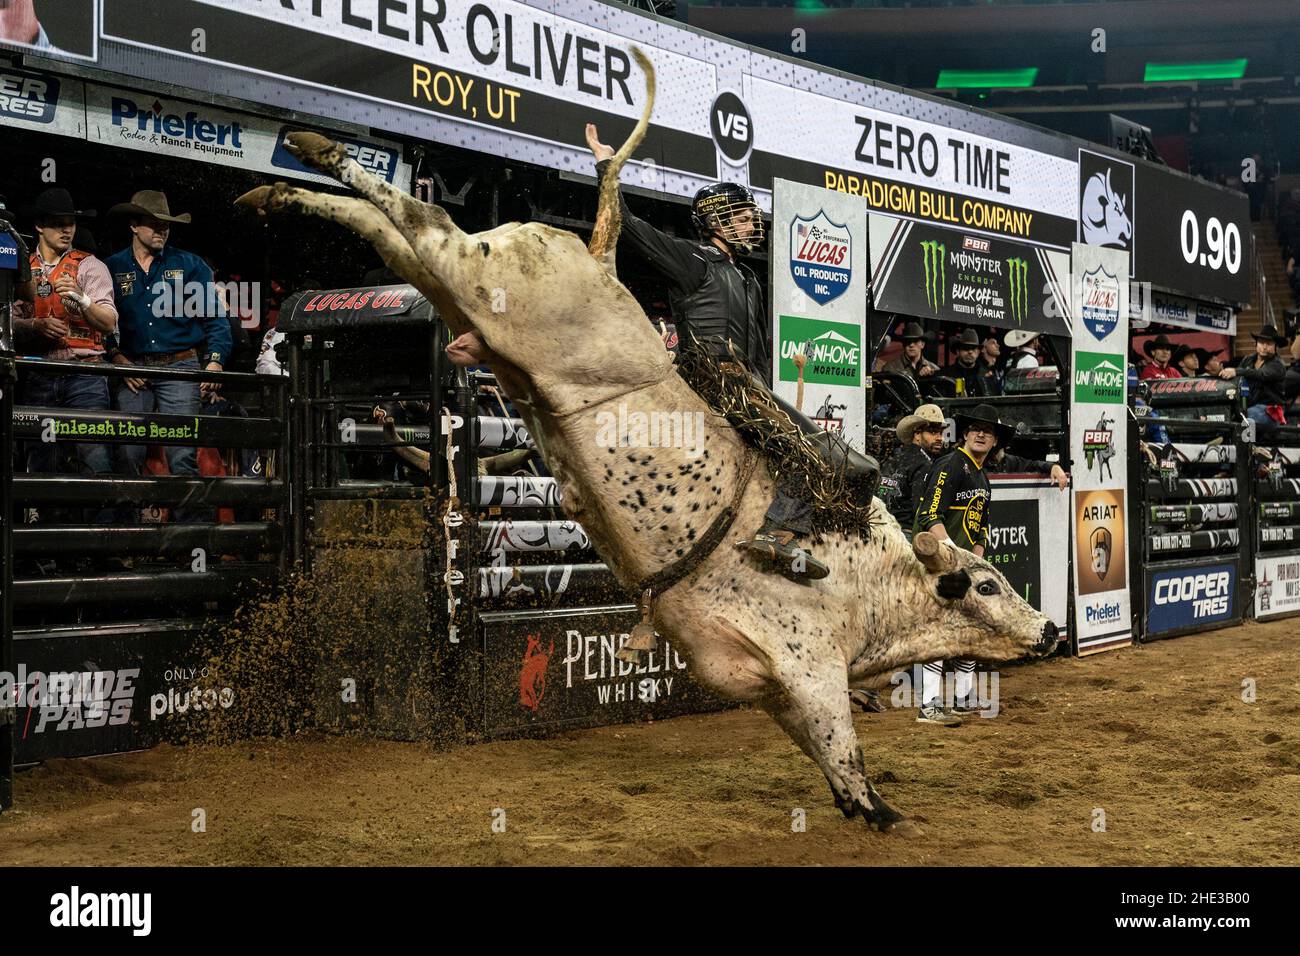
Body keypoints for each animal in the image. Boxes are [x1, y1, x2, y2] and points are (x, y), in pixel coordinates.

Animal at [235, 49, 1057, 833]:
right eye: (987, 583)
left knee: (394, 232)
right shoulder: (811, 663)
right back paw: (314, 152)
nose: (1050, 629)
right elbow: (842, 741)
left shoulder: (772, 686)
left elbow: (821, 749)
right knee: (419, 213)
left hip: (455, 292)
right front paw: (883, 811)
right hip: (483, 281)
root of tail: (598, 260)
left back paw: (277, 190)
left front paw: (861, 805)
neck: (873, 580)